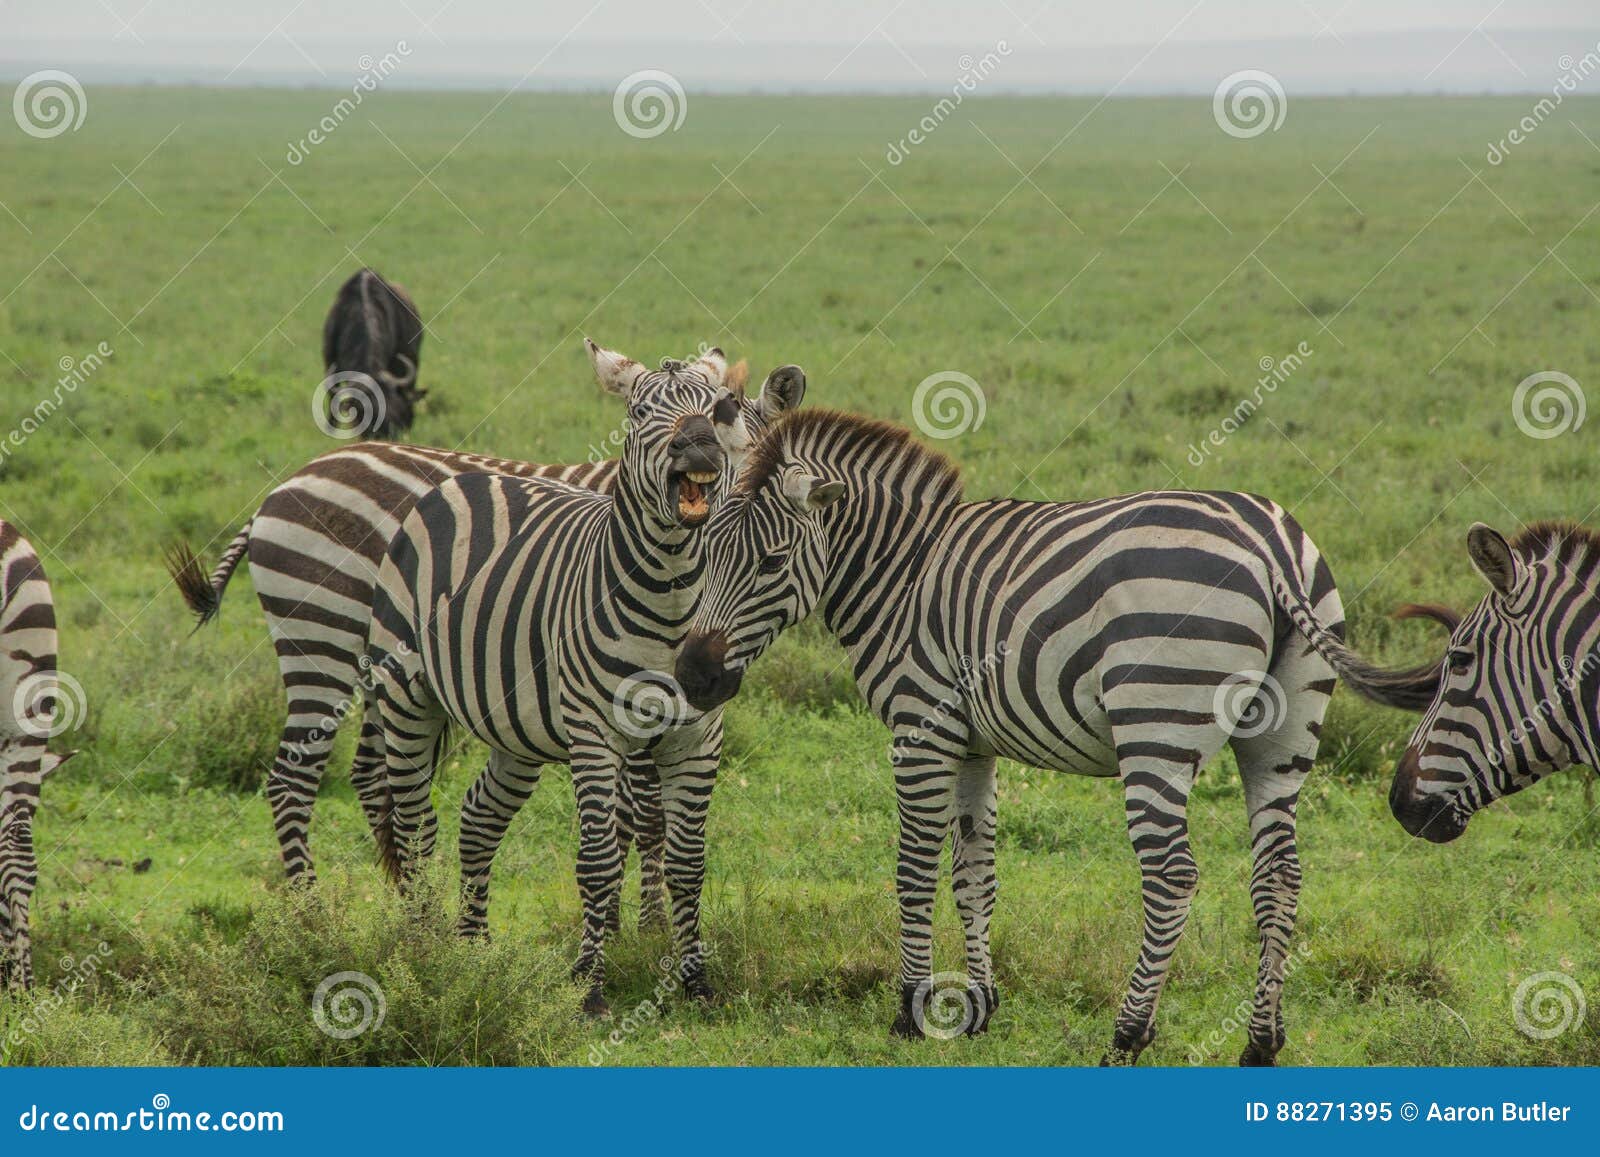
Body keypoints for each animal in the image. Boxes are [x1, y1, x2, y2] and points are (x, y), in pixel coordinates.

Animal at [166, 357, 805, 910]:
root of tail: (284, 485)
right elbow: (642, 818)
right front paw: (642, 928)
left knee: (372, 779)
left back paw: (403, 896)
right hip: (322, 635)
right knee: (294, 778)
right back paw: (311, 913)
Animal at [368, 341, 748, 1014]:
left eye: (719, 409)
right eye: (640, 411)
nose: (700, 444)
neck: (674, 605)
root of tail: (463, 477)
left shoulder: (699, 735)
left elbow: (688, 863)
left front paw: (695, 982)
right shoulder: (594, 732)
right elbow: (598, 861)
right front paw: (589, 987)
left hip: (515, 729)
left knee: (478, 818)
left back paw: (472, 950)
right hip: (406, 695)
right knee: (414, 829)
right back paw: (422, 949)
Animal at [673, 409, 1423, 1064]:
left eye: (773, 562)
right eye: (705, 553)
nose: (692, 675)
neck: (903, 570)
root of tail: (1269, 542)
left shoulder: (922, 725)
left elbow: (913, 868)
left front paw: (913, 1008)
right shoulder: (973, 741)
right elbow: (974, 871)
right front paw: (977, 1006)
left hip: (1155, 728)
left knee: (1172, 876)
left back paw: (1127, 1034)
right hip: (1284, 735)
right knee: (1279, 875)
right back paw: (1260, 1042)